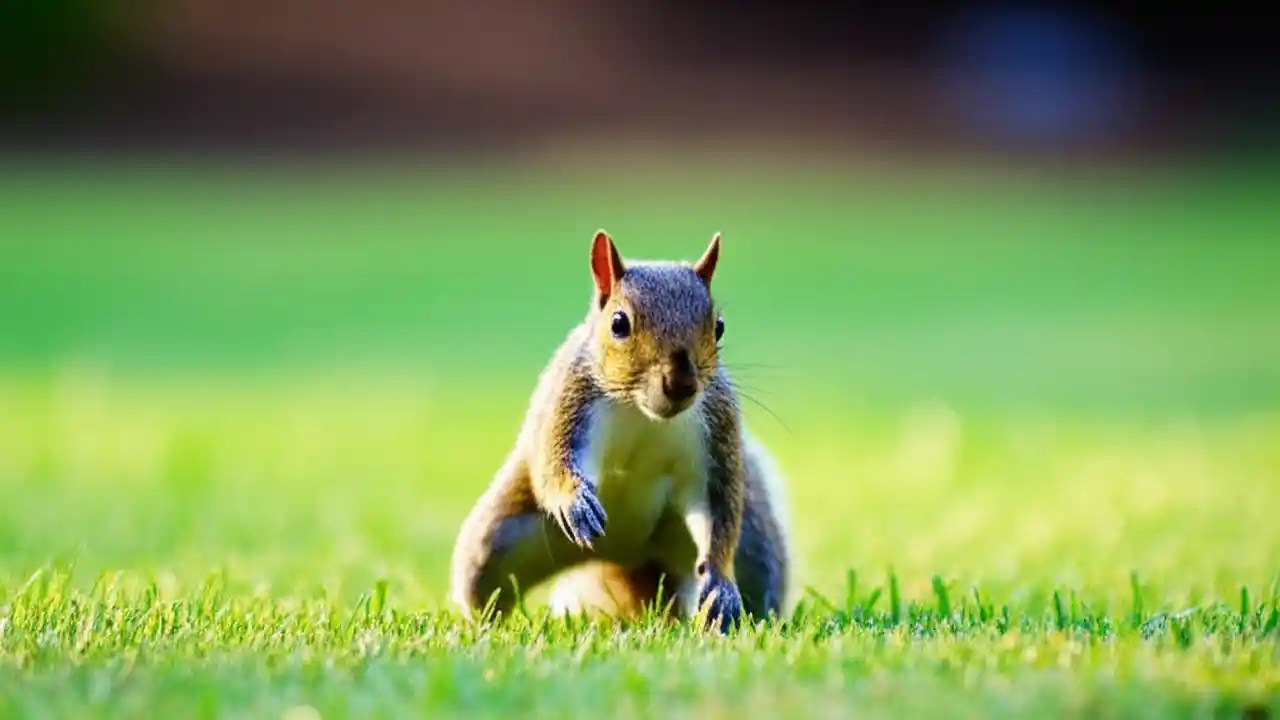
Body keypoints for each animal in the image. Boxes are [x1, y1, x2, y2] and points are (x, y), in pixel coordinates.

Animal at [449, 230, 790, 631]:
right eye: (618, 324)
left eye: (718, 327)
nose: (680, 384)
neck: (642, 411)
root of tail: (627, 556)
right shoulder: (568, 407)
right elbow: (553, 466)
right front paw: (575, 502)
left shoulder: (715, 432)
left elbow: (718, 511)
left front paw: (720, 583)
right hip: (506, 542)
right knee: (483, 583)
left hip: (753, 550)